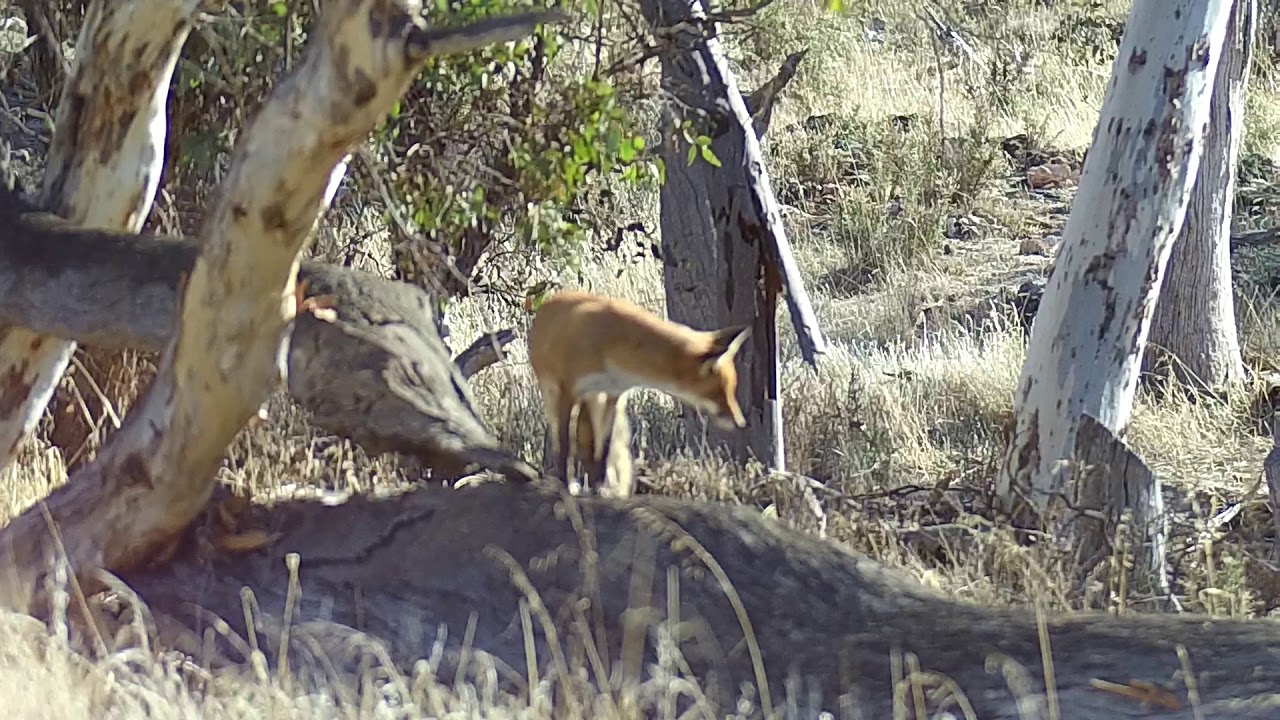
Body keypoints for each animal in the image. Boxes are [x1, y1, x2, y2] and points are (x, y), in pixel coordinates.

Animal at [526, 290, 752, 498]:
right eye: (720, 393)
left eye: (732, 391)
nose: (741, 423)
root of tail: (552, 299)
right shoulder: (569, 391)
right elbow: (565, 445)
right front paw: (566, 485)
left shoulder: (613, 396)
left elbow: (604, 449)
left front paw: (602, 488)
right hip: (556, 396)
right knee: (563, 441)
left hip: (594, 402)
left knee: (589, 447)